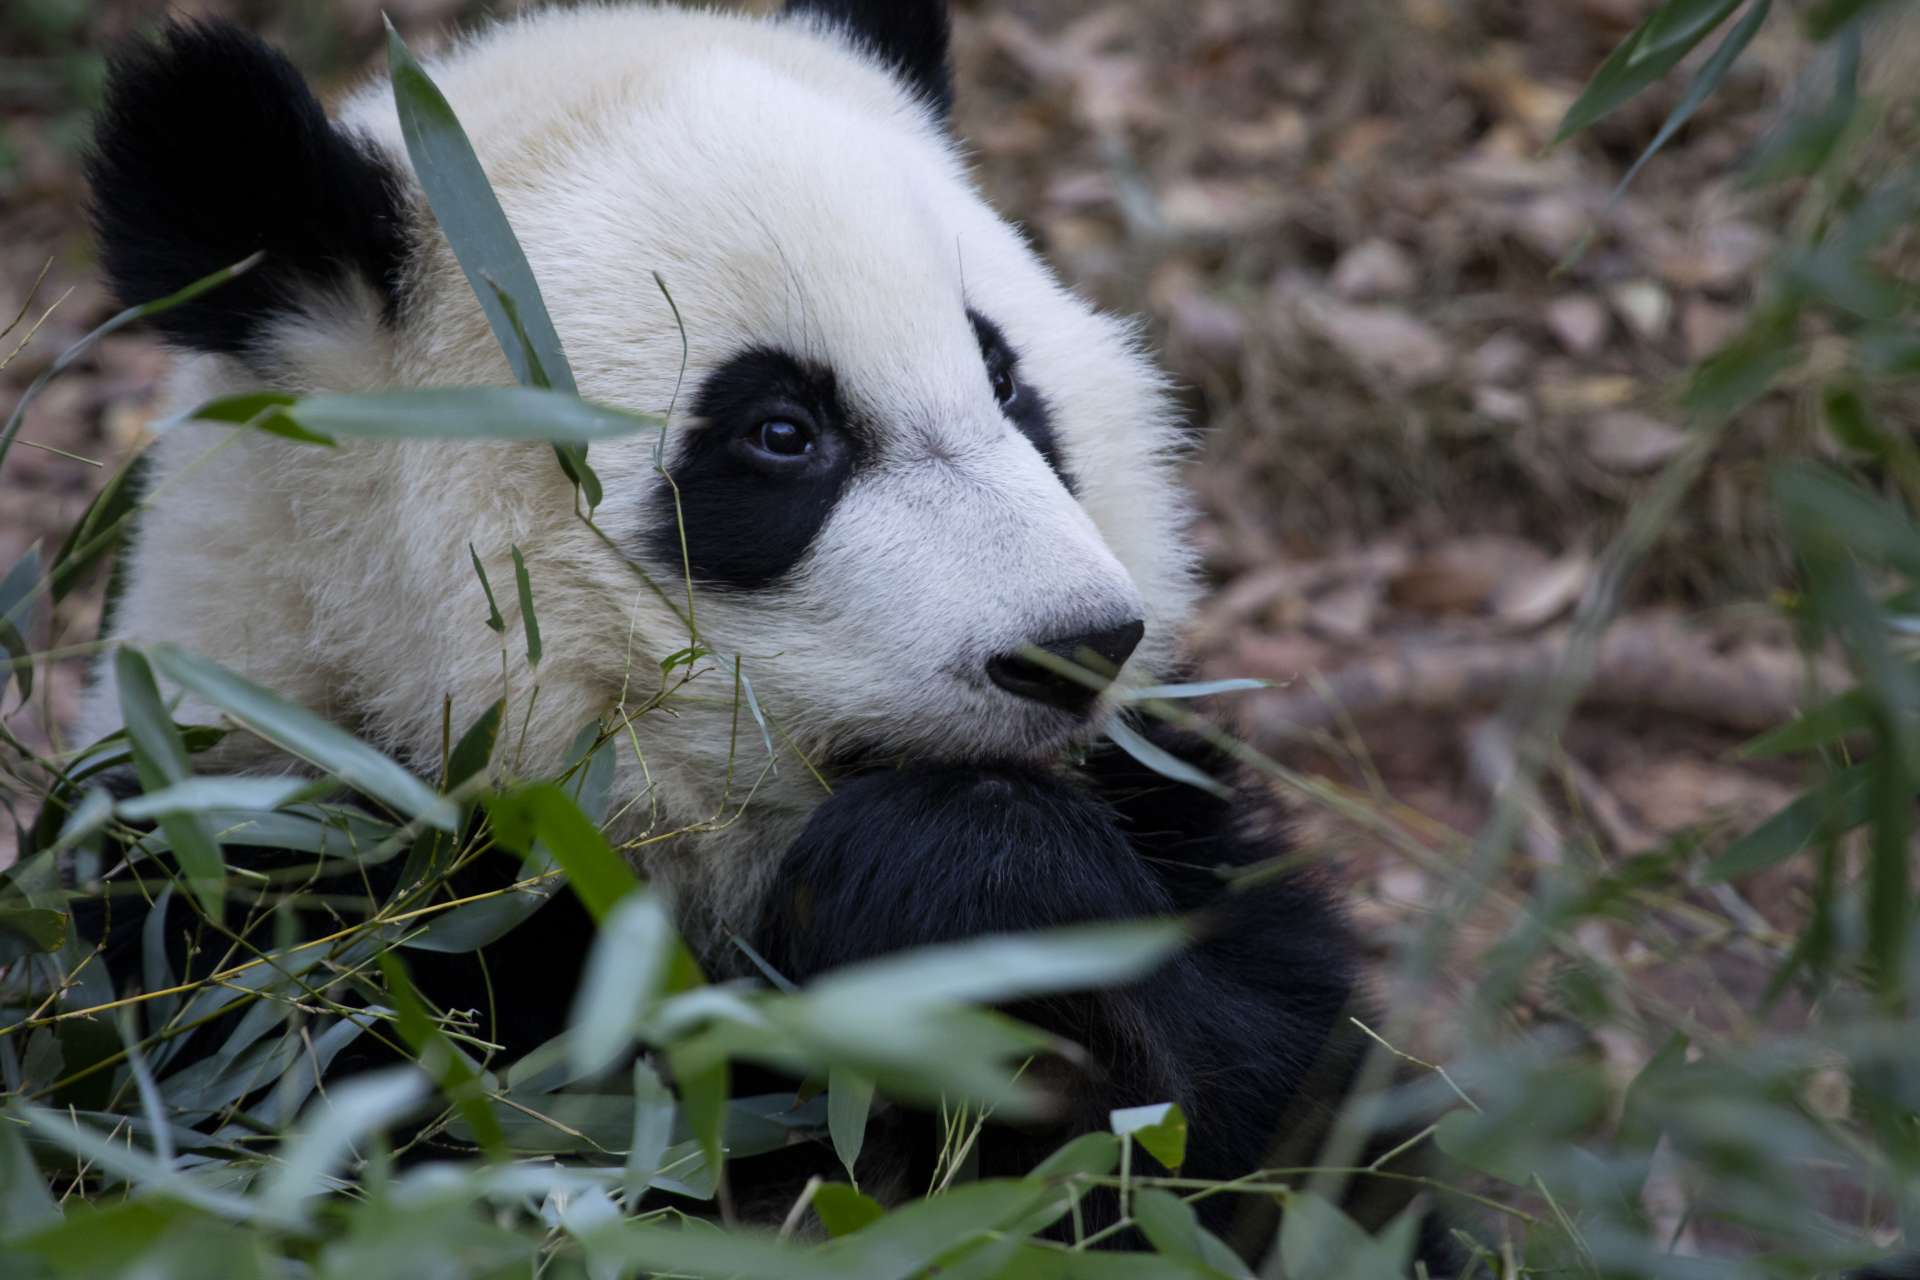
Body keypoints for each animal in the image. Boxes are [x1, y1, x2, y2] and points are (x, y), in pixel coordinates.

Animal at [70, 0, 1453, 1267]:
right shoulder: (272, 914)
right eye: (780, 433)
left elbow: (1285, 1141)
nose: (1078, 645)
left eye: (1006, 379)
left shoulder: (1167, 817)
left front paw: (972, 890)